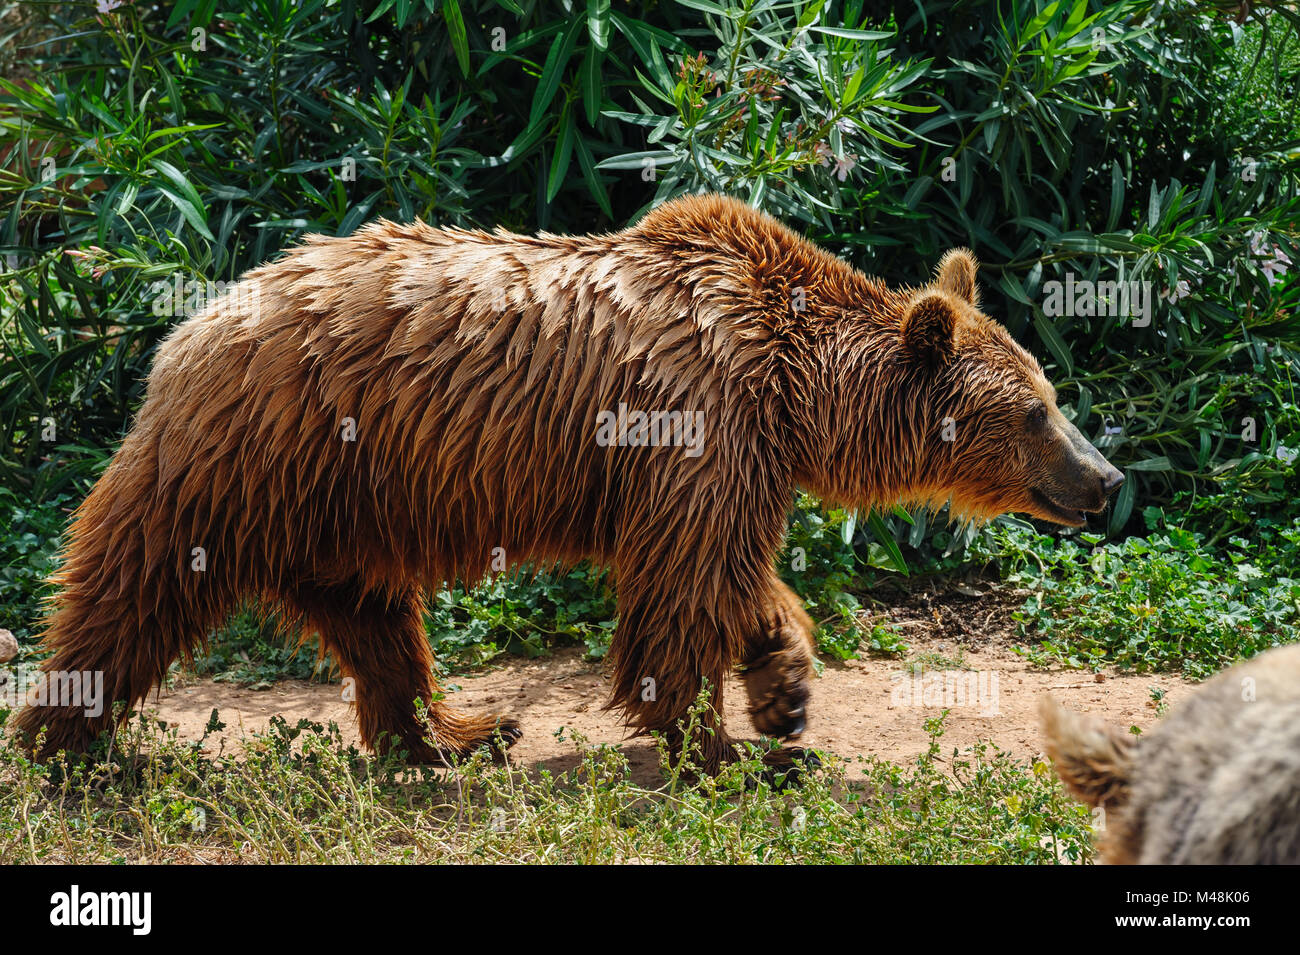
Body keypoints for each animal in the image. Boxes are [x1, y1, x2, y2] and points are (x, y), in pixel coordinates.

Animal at [14, 193, 1122, 774]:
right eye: (1037, 410)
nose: (1107, 480)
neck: (795, 383)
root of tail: (198, 317)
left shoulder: (733, 456)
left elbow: (730, 574)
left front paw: (785, 692)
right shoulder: (698, 421)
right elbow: (685, 585)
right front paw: (719, 743)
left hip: (343, 498)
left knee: (373, 615)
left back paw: (455, 730)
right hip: (256, 452)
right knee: (139, 578)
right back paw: (61, 735)